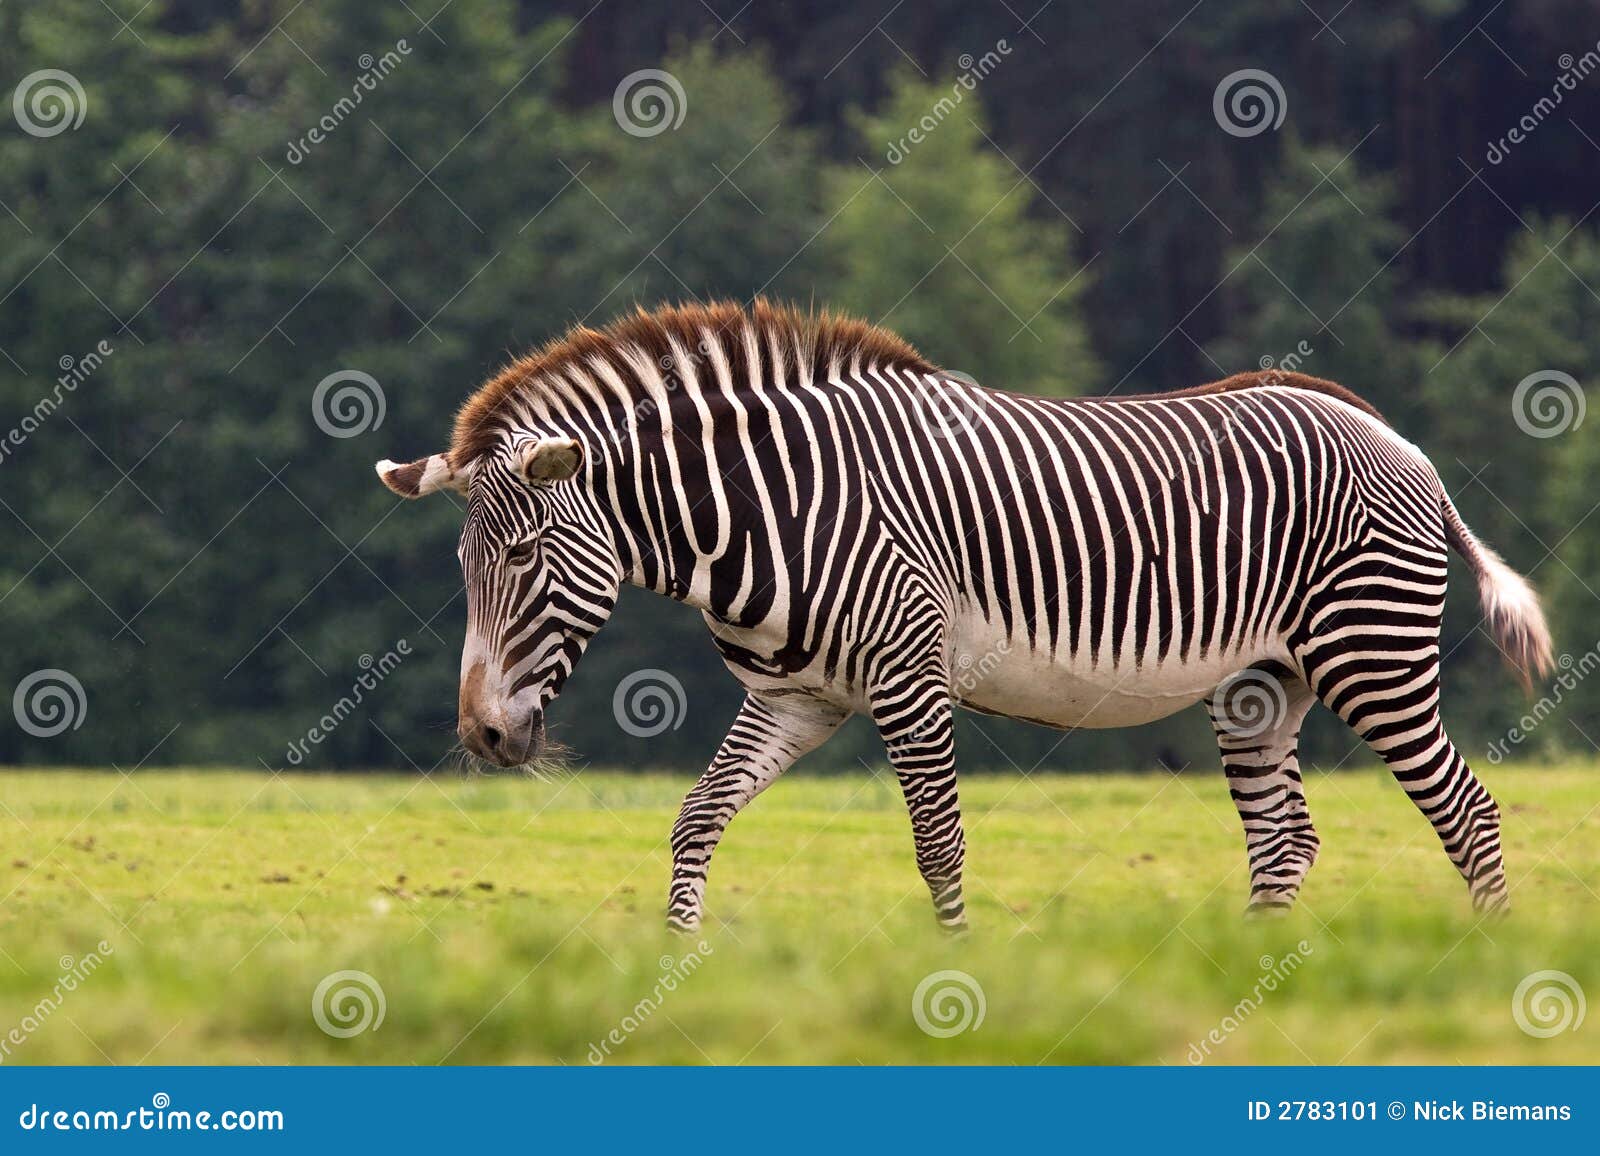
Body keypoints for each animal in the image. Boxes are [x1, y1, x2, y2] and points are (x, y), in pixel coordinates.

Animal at [376, 300, 1552, 932]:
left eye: (522, 559)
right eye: (463, 566)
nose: (484, 736)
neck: (769, 508)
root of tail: (1390, 433)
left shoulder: (910, 674)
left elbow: (937, 843)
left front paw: (955, 975)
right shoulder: (798, 697)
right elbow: (695, 818)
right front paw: (675, 965)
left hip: (1369, 654)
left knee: (1468, 812)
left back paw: (1488, 961)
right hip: (1262, 684)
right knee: (1285, 841)